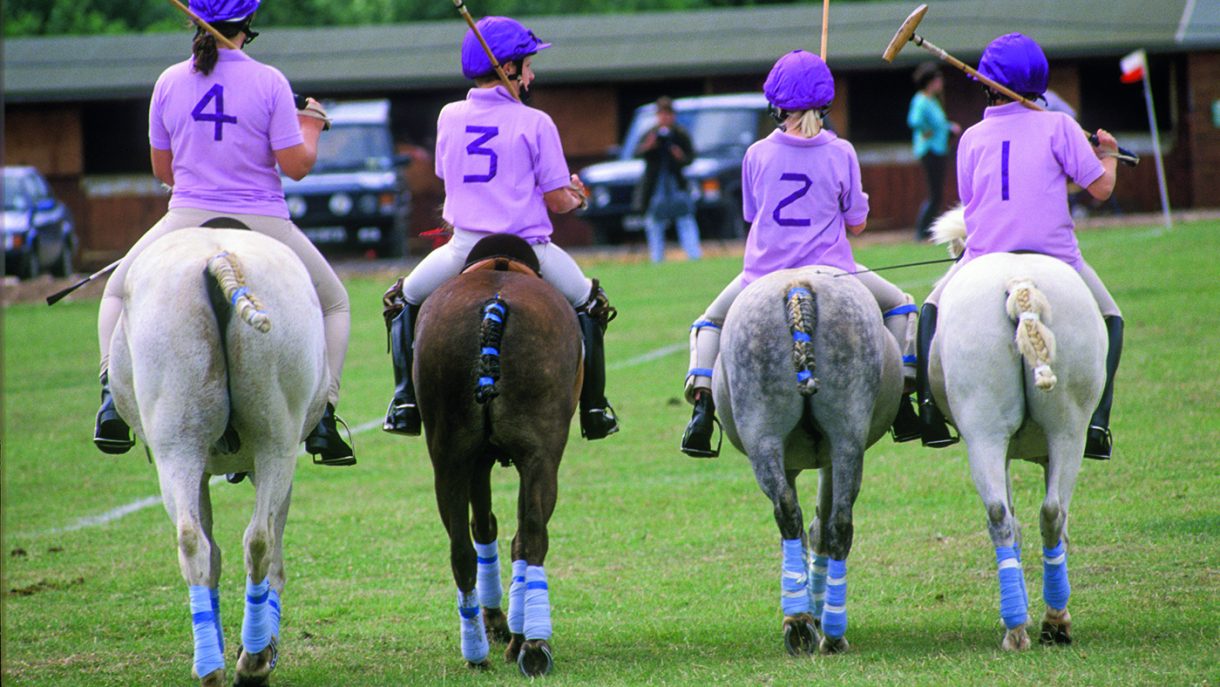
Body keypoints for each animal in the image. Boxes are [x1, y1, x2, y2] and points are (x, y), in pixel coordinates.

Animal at [108, 227, 328, 686]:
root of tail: (219, 257)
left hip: (190, 447)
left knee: (213, 540)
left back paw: (229, 664)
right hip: (268, 441)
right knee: (244, 539)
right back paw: (243, 661)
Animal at [406, 234, 583, 676]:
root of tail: (495, 304)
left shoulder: (475, 457)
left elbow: (484, 526)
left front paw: (498, 625)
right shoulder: (498, 458)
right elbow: (502, 528)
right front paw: (508, 629)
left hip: (449, 456)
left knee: (462, 549)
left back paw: (479, 650)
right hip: (541, 454)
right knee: (531, 536)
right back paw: (530, 644)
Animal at [713, 266, 904, 655]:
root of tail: (797, 285)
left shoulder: (802, 458)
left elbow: (807, 527)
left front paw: (807, 608)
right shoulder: (828, 455)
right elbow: (818, 527)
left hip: (765, 432)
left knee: (792, 515)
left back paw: (801, 623)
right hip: (845, 436)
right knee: (837, 524)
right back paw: (828, 630)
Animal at [929, 209, 1106, 650]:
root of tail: (1019, 280)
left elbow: (1027, 521)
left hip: (1014, 435)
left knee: (1022, 515)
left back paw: (1031, 623)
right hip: (1054, 435)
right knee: (1038, 516)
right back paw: (1042, 622)